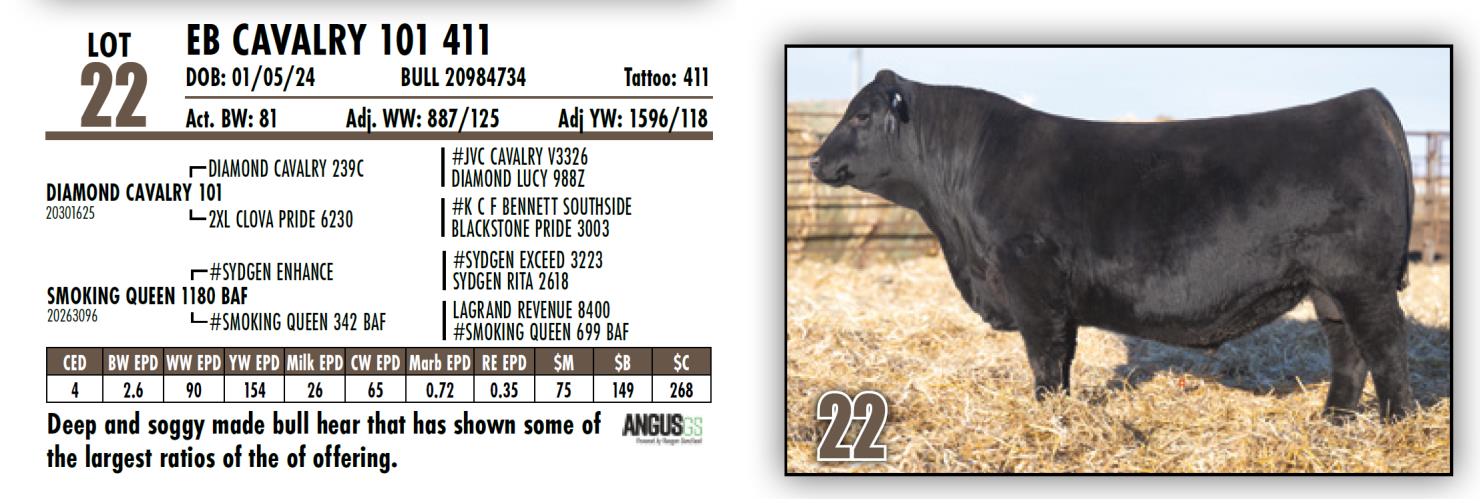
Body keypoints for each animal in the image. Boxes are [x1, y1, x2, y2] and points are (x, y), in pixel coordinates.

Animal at [809, 69, 1416, 420]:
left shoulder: (1030, 279)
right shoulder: (1055, 295)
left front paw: (1048, 418)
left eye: (861, 114)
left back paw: (1395, 422)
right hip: (1327, 285)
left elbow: (1045, 355)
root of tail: (1364, 102)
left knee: (1384, 344)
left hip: (1361, 279)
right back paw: (1333, 419)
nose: (813, 160)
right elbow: (1063, 358)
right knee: (1347, 348)